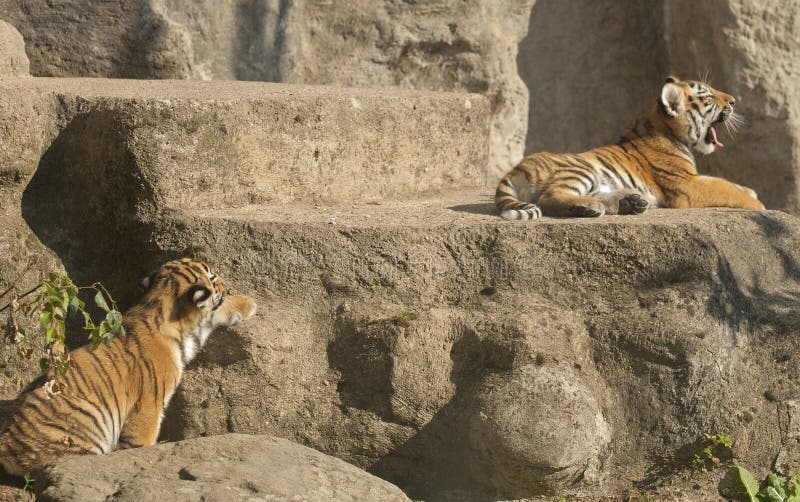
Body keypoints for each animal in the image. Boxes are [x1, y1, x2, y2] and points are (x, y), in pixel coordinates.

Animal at [0, 258, 257, 477]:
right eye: (213, 277)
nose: (226, 283)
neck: (157, 303)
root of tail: (6, 441)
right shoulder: (148, 405)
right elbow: (143, 441)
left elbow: (216, 313)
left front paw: (247, 303)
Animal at [495, 76, 765, 220]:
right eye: (708, 97)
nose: (733, 101)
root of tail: (515, 169)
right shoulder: (685, 183)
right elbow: (722, 187)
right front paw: (757, 204)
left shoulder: (692, 177)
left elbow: (724, 182)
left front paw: (750, 191)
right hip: (581, 169)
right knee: (549, 196)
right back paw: (590, 207)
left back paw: (630, 203)